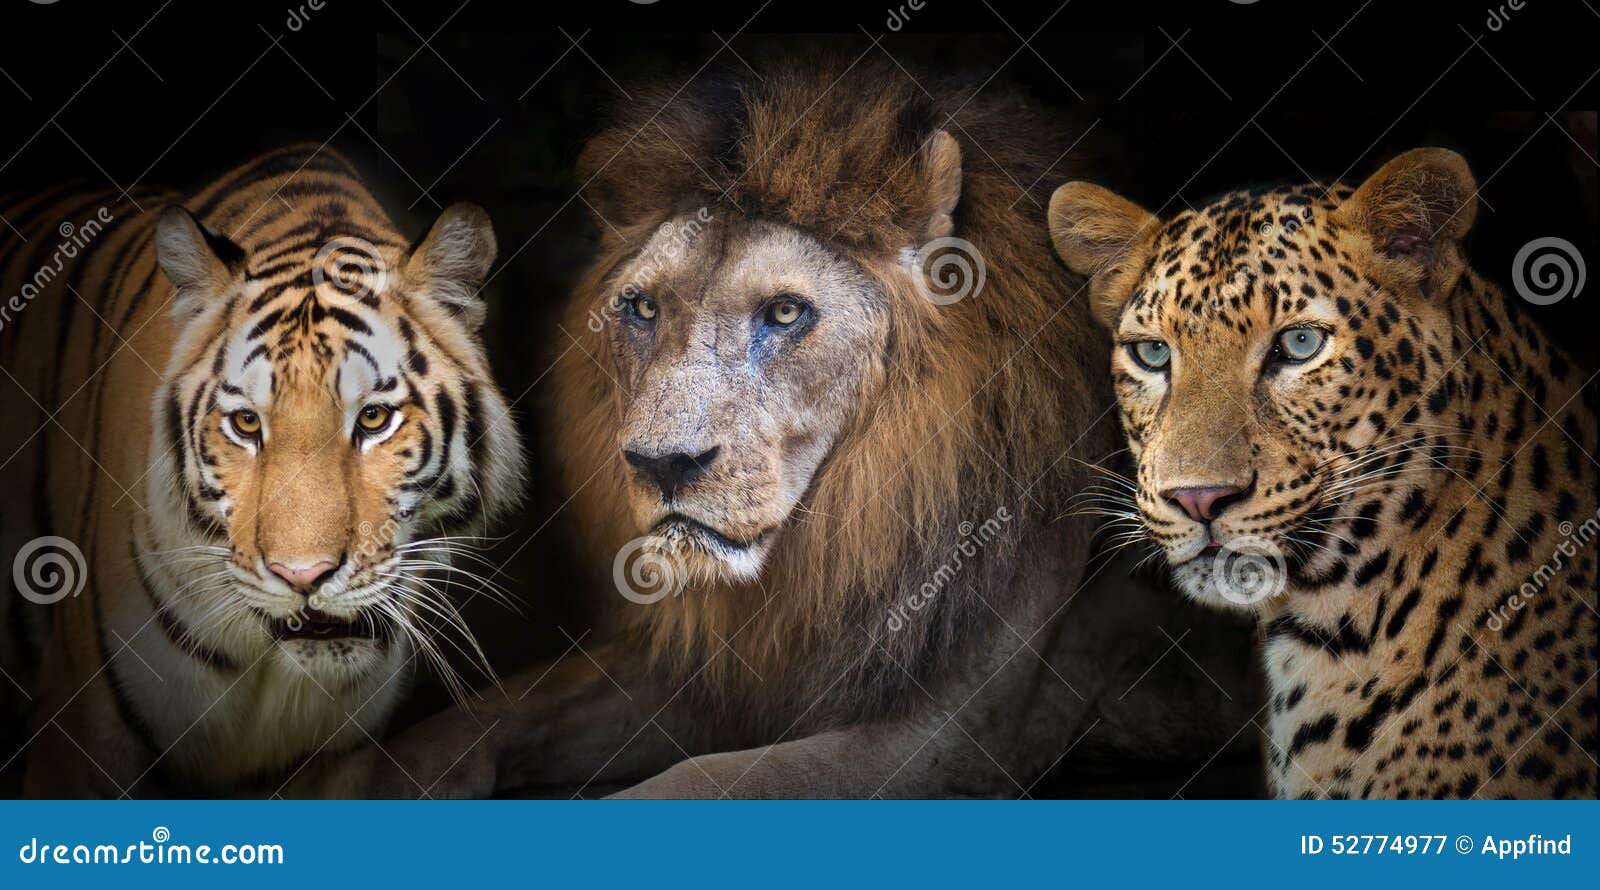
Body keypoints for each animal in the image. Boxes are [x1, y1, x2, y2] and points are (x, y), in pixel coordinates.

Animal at [361, 55, 1259, 798]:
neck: (829, 540)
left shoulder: (950, 736)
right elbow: (469, 724)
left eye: (787, 312)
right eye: (642, 308)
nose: (660, 464)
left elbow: (687, 790)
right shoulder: (720, 673)